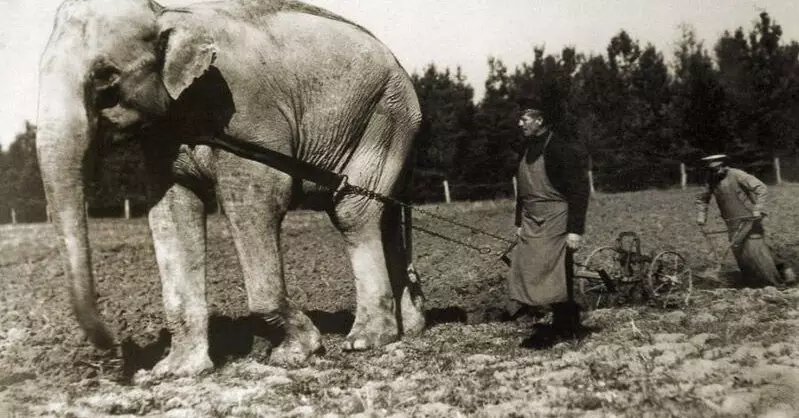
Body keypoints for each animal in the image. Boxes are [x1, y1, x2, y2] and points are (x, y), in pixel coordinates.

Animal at [39, 0, 424, 378]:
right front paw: (176, 371)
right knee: (385, 215)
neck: (166, 12)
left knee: (353, 212)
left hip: (386, 116)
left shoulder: (248, 115)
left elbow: (258, 199)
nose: (115, 346)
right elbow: (171, 212)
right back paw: (412, 325)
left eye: (105, 78)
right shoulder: (163, 139)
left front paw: (296, 353)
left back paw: (366, 340)